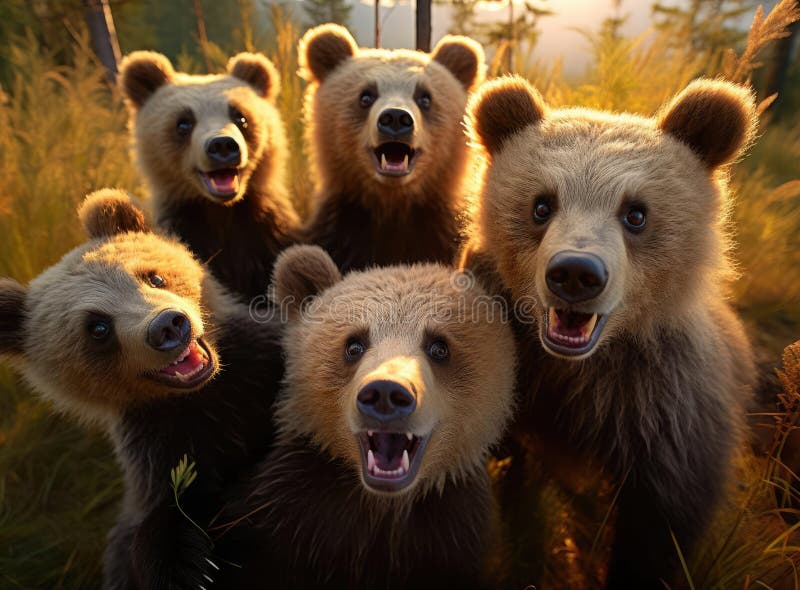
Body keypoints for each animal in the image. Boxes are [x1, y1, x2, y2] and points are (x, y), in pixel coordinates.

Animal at [0, 190, 285, 590]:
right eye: (98, 328)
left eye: (154, 277)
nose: (168, 326)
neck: (206, 394)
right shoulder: (160, 442)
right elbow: (157, 516)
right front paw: (188, 566)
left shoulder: (259, 365)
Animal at [119, 50, 300, 300]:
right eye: (183, 123)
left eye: (240, 117)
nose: (222, 145)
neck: (219, 210)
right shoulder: (186, 227)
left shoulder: (267, 233)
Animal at [200, 245, 517, 589]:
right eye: (354, 344)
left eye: (439, 346)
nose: (386, 393)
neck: (381, 506)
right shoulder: (283, 518)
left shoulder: (452, 532)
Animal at [460, 77, 757, 588]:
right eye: (542, 204)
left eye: (636, 213)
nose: (576, 274)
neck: (575, 369)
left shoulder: (665, 411)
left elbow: (659, 526)